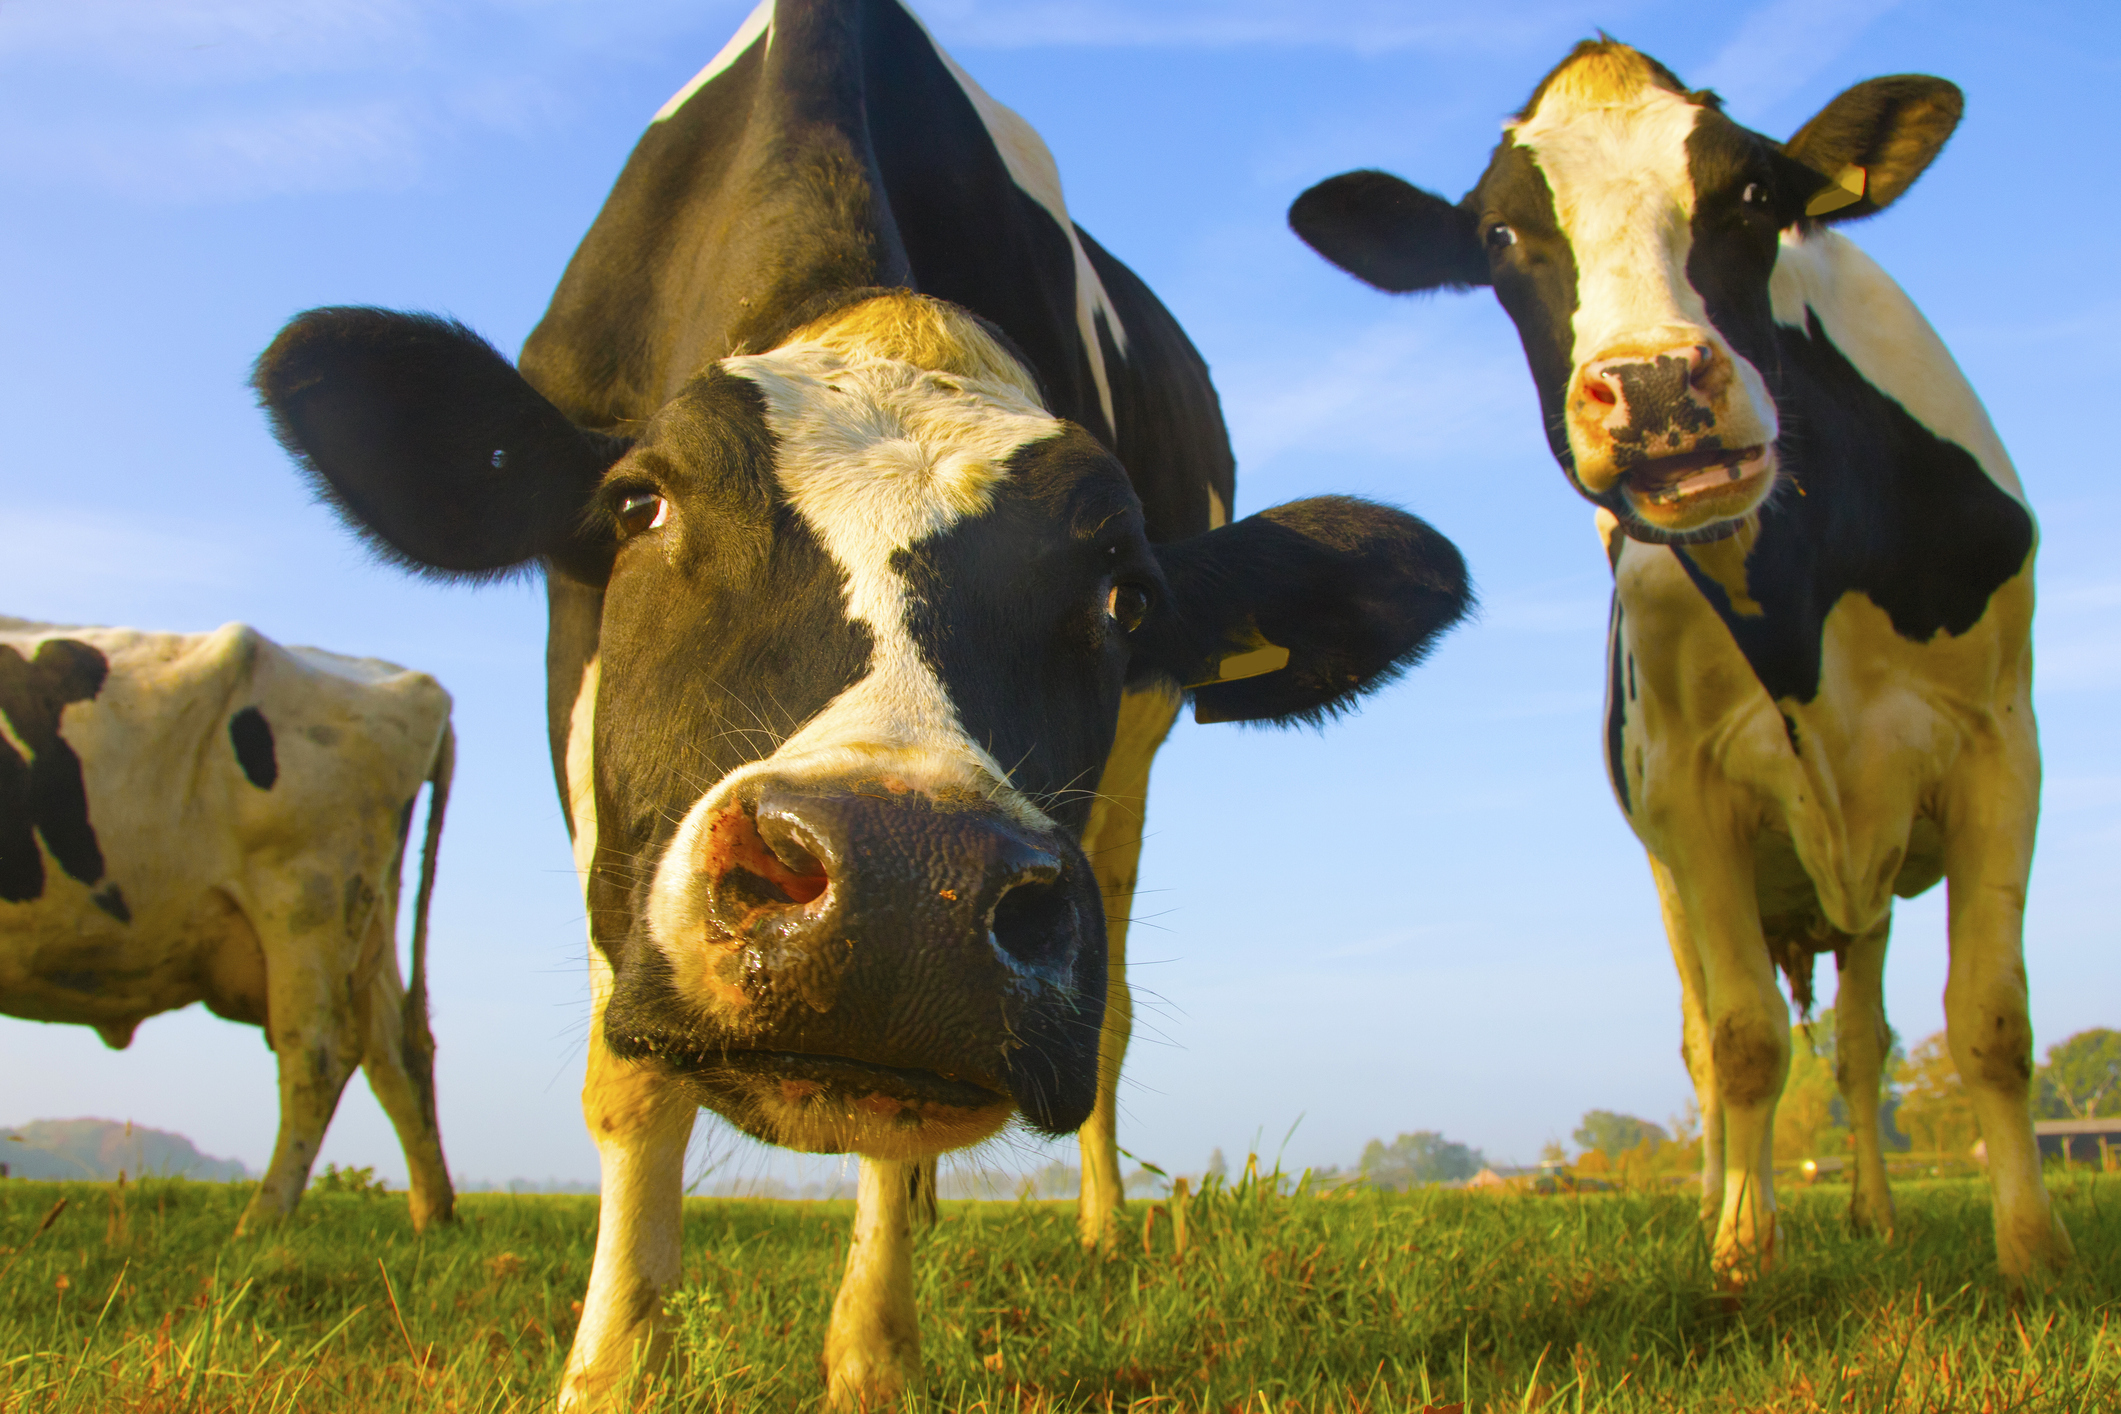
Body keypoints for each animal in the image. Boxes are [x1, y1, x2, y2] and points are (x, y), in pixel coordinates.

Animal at [0, 618, 455, 1234]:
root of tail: (411, 682)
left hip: (304, 894)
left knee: (320, 1051)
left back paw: (262, 1218)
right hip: (365, 916)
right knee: (394, 1053)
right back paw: (432, 1216)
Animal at [250, 0, 1472, 1406]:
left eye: (1126, 593)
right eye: (641, 503)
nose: (903, 889)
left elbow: (903, 1130)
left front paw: (874, 1355)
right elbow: (631, 1082)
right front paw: (608, 1370)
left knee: (1103, 1019)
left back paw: (1101, 1227)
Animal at [1289, 39, 2067, 1285]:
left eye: (1753, 191)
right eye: (1501, 234)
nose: (1656, 387)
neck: (1800, 608)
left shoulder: (2003, 743)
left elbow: (1991, 1020)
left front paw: (2033, 1255)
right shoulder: (1691, 794)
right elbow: (1743, 1042)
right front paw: (1742, 1255)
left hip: (1867, 887)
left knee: (1862, 1045)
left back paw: (1875, 1213)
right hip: (1673, 873)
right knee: (1712, 1037)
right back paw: (1722, 1203)